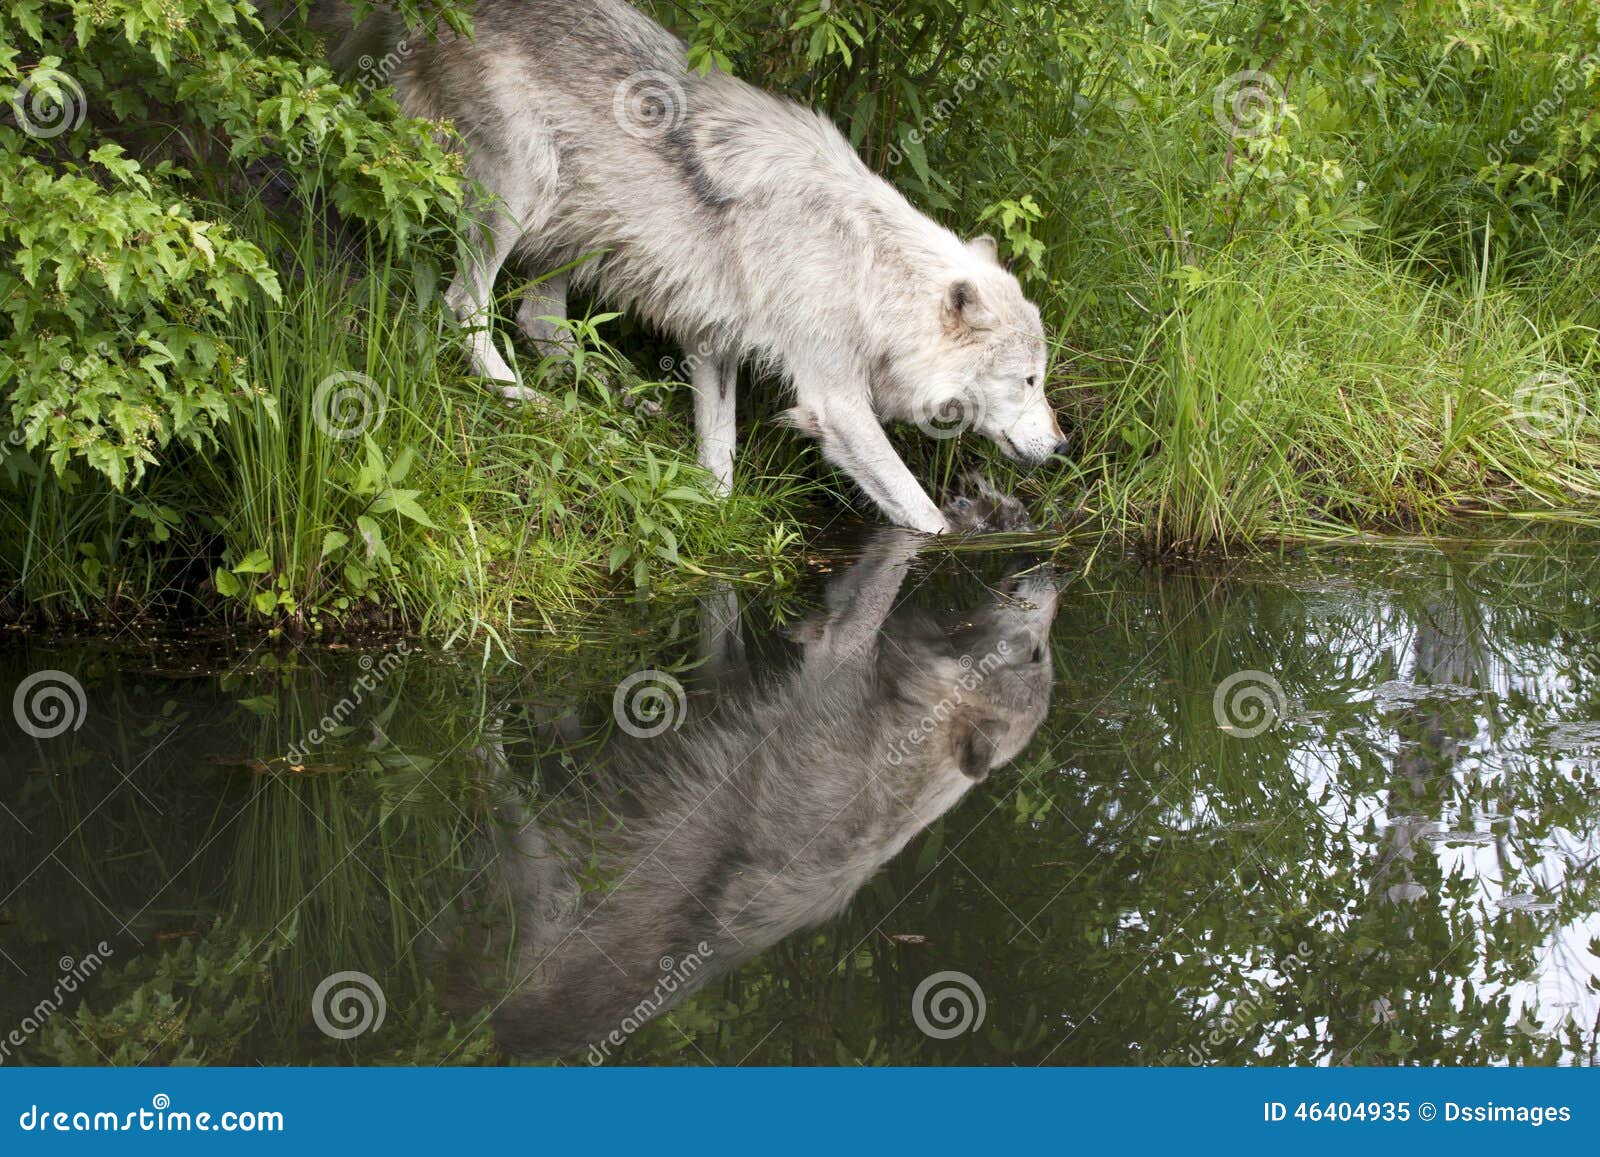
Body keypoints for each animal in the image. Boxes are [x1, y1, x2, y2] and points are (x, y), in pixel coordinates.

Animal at [304, 1, 1070, 533]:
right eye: (1030, 380)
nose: (1064, 447)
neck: (865, 265)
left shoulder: (712, 340)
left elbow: (719, 455)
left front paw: (709, 509)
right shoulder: (834, 401)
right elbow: (920, 511)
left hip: (579, 226)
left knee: (538, 320)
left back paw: (610, 398)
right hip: (522, 191)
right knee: (467, 308)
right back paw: (531, 401)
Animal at [458, 531, 1058, 1058]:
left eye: (1037, 656)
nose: (1054, 570)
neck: (908, 743)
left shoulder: (839, 655)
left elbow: (878, 589)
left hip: (531, 859)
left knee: (494, 770)